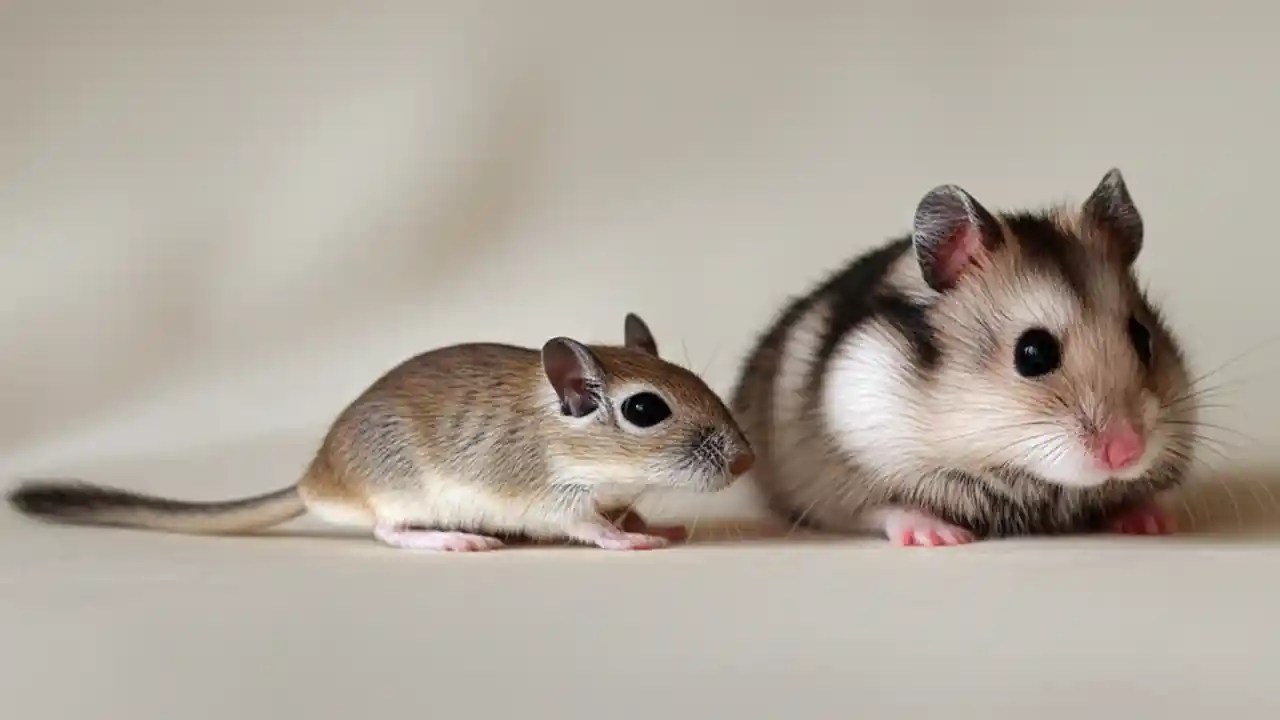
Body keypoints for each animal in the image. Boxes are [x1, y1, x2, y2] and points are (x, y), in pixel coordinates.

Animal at [9, 313, 755, 551]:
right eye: (645, 411)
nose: (747, 463)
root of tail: (312, 482)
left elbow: (627, 510)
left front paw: (658, 524)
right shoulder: (553, 500)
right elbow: (592, 526)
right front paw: (635, 540)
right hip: (403, 491)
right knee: (387, 532)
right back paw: (455, 540)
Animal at [732, 169, 1197, 546]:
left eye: (1143, 337)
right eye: (1033, 353)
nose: (1128, 452)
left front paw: (1154, 522)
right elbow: (885, 506)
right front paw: (942, 537)